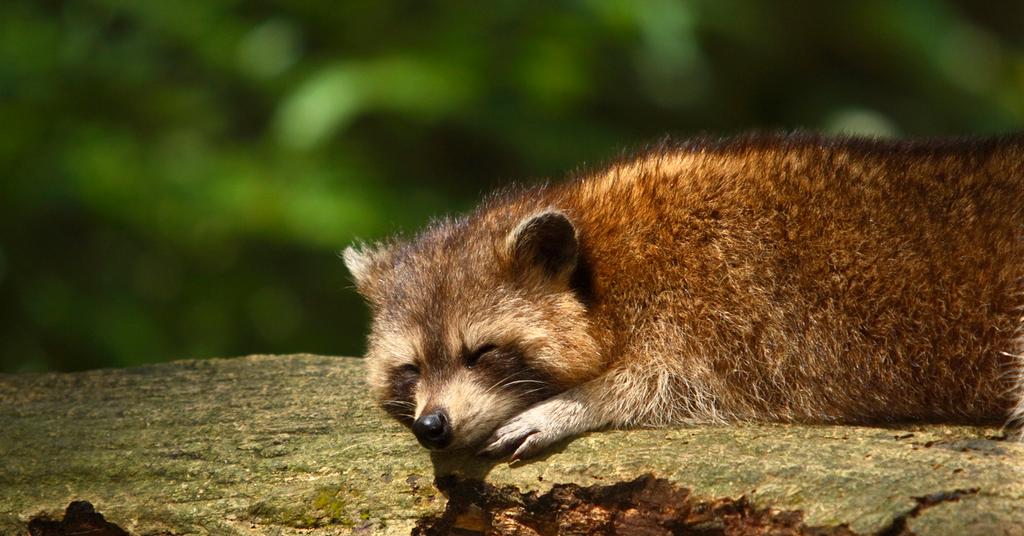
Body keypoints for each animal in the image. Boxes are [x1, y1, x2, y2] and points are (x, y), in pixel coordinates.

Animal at [344, 133, 1024, 460]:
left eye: (482, 353)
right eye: (411, 368)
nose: (433, 426)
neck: (603, 270)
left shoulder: (730, 305)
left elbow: (672, 383)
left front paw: (581, 401)